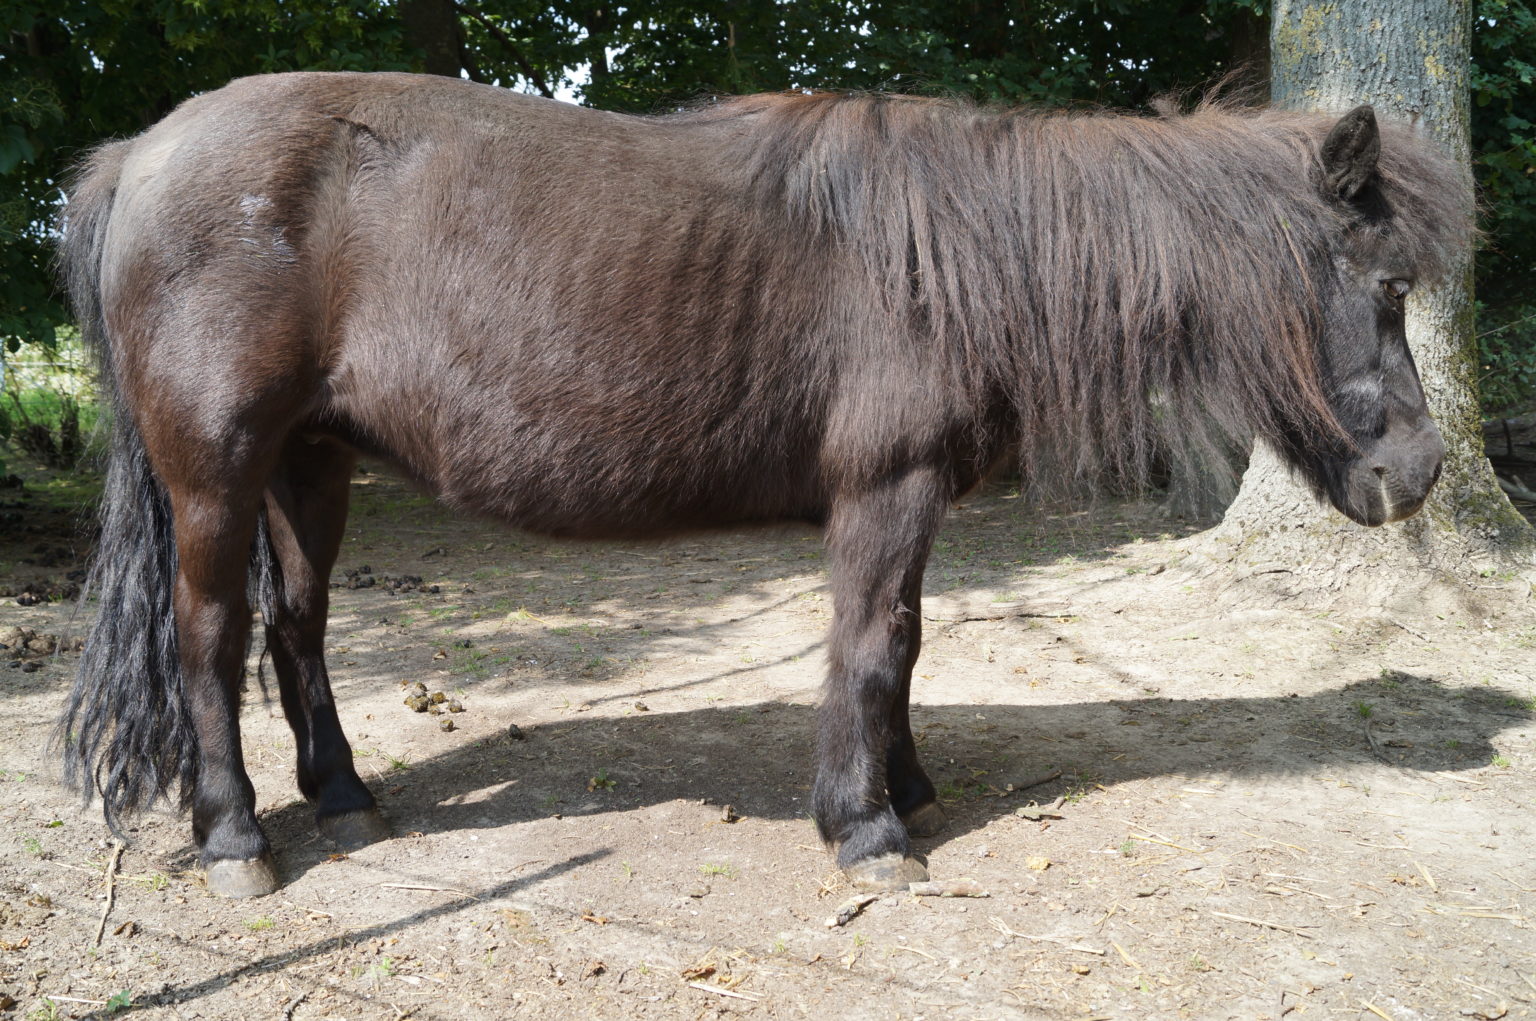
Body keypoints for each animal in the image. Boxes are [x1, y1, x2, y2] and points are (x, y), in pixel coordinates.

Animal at [57, 72, 1469, 898]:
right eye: (1388, 283)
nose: (1419, 472)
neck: (962, 255)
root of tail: (143, 150)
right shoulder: (887, 492)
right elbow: (872, 645)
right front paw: (866, 825)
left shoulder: (914, 503)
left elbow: (905, 647)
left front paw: (904, 787)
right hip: (218, 473)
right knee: (209, 636)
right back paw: (236, 836)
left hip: (311, 464)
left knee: (297, 626)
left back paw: (345, 797)